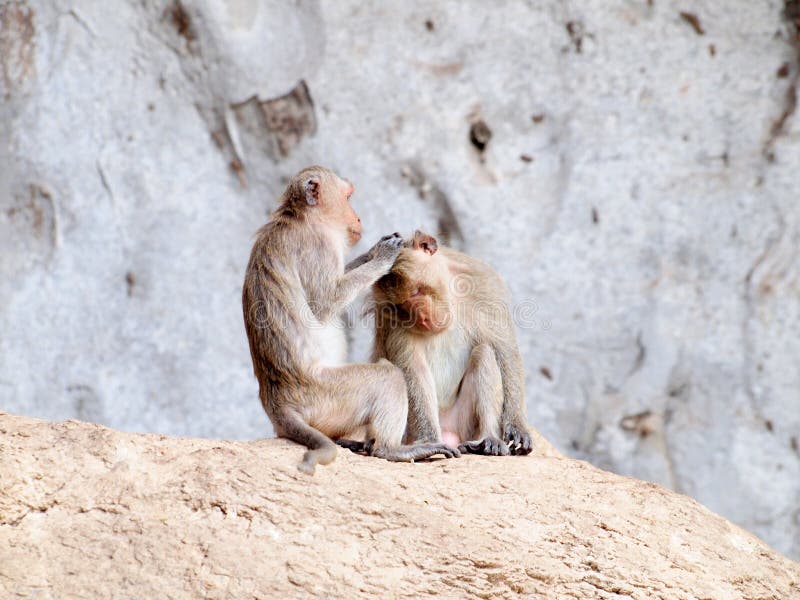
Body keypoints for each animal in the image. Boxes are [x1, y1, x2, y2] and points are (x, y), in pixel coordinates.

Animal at [242, 167, 460, 474]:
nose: (357, 218)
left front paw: (376, 249)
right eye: (348, 197)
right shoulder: (317, 246)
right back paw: (390, 449)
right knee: (388, 376)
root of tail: (278, 403)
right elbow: (324, 303)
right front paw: (383, 256)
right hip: (327, 396)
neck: (299, 217)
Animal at [367, 230, 533, 456]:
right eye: (399, 307)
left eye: (416, 292)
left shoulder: (485, 285)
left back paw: (488, 439)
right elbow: (413, 369)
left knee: (484, 353)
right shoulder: (390, 319)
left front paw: (517, 427)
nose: (422, 318)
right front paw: (429, 441)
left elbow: (504, 350)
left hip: (464, 424)